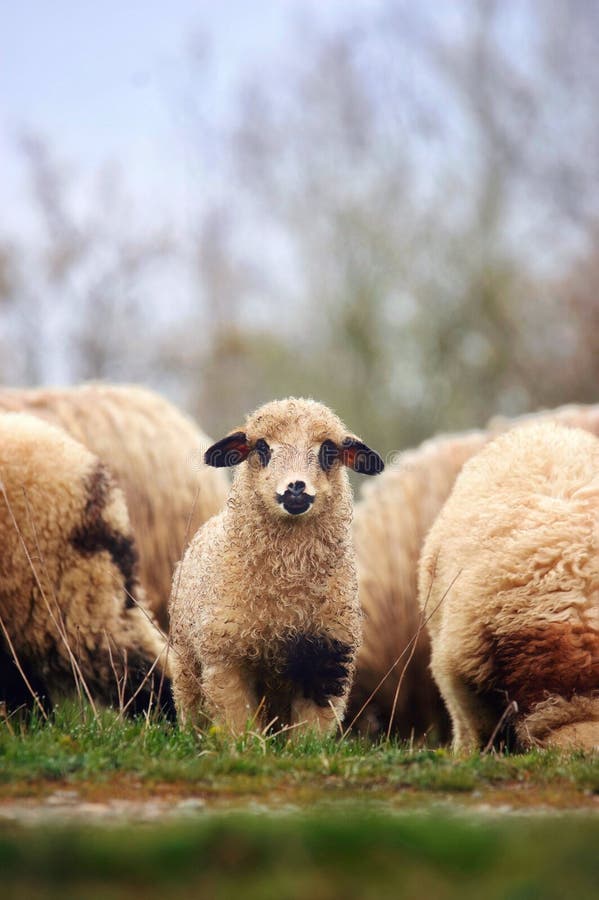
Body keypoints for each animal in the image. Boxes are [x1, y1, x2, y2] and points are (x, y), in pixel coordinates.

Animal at [169, 397, 384, 735]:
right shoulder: (226, 659)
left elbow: (309, 734)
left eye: (328, 450)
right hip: (185, 663)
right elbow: (237, 725)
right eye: (262, 447)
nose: (295, 488)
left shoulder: (327, 661)